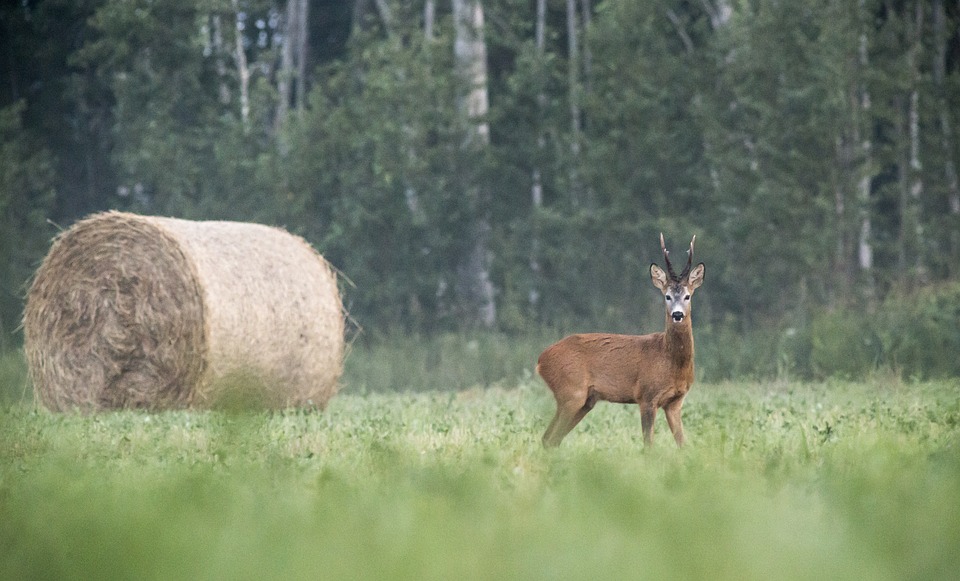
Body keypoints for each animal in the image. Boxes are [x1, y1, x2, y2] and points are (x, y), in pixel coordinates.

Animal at [537, 234, 705, 448]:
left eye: (687, 296)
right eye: (667, 296)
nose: (677, 315)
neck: (670, 360)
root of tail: (541, 360)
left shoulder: (675, 402)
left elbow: (683, 444)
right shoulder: (646, 395)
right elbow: (648, 445)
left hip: (585, 400)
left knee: (551, 439)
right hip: (571, 391)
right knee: (550, 438)